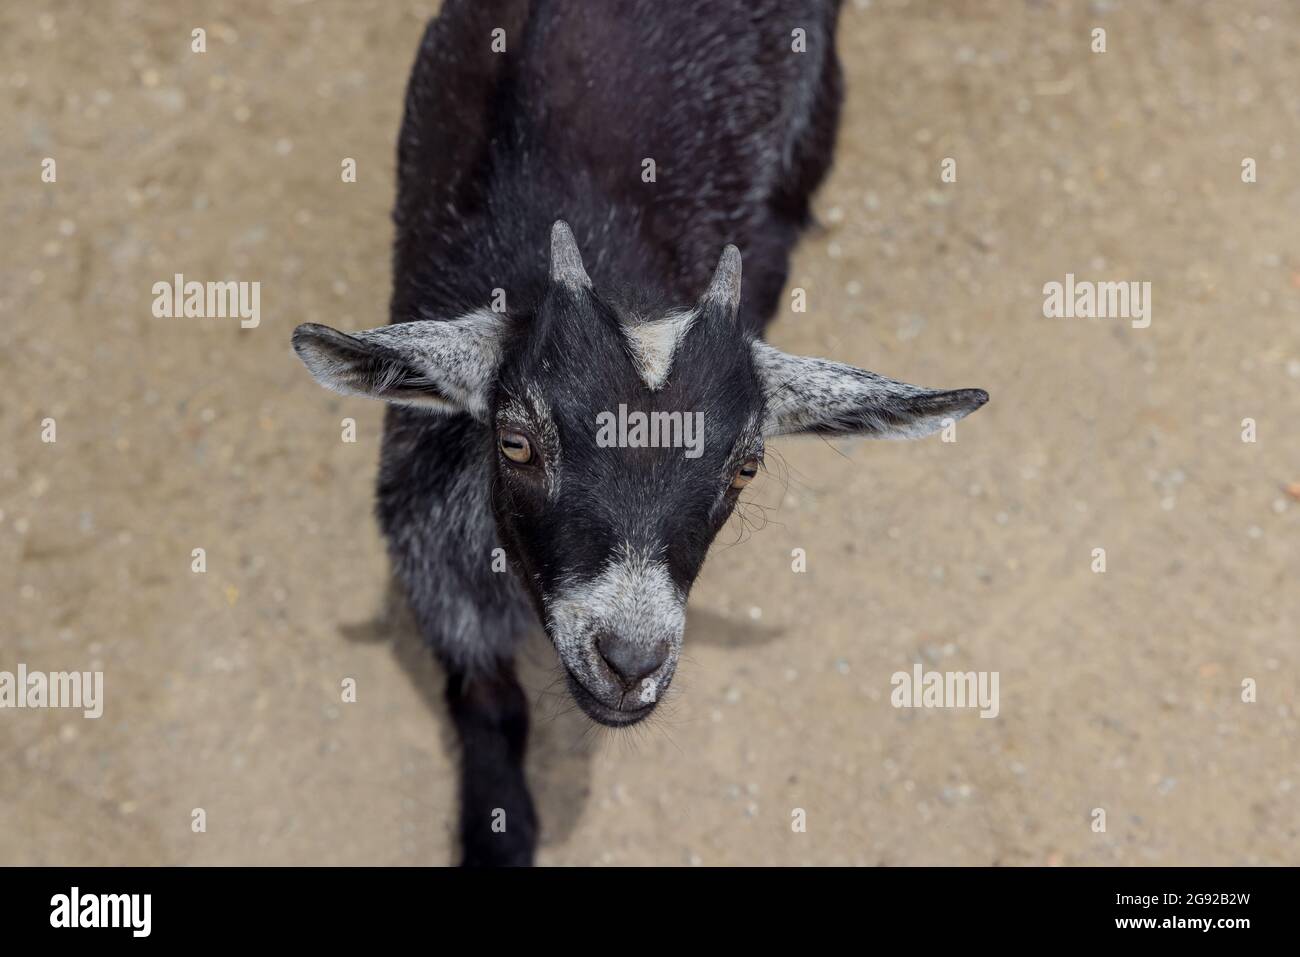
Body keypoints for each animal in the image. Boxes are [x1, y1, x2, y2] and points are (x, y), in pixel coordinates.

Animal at [292, 0, 987, 865]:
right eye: (517, 442)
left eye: (746, 467)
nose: (630, 661)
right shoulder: (426, 520)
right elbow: (486, 696)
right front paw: (498, 823)